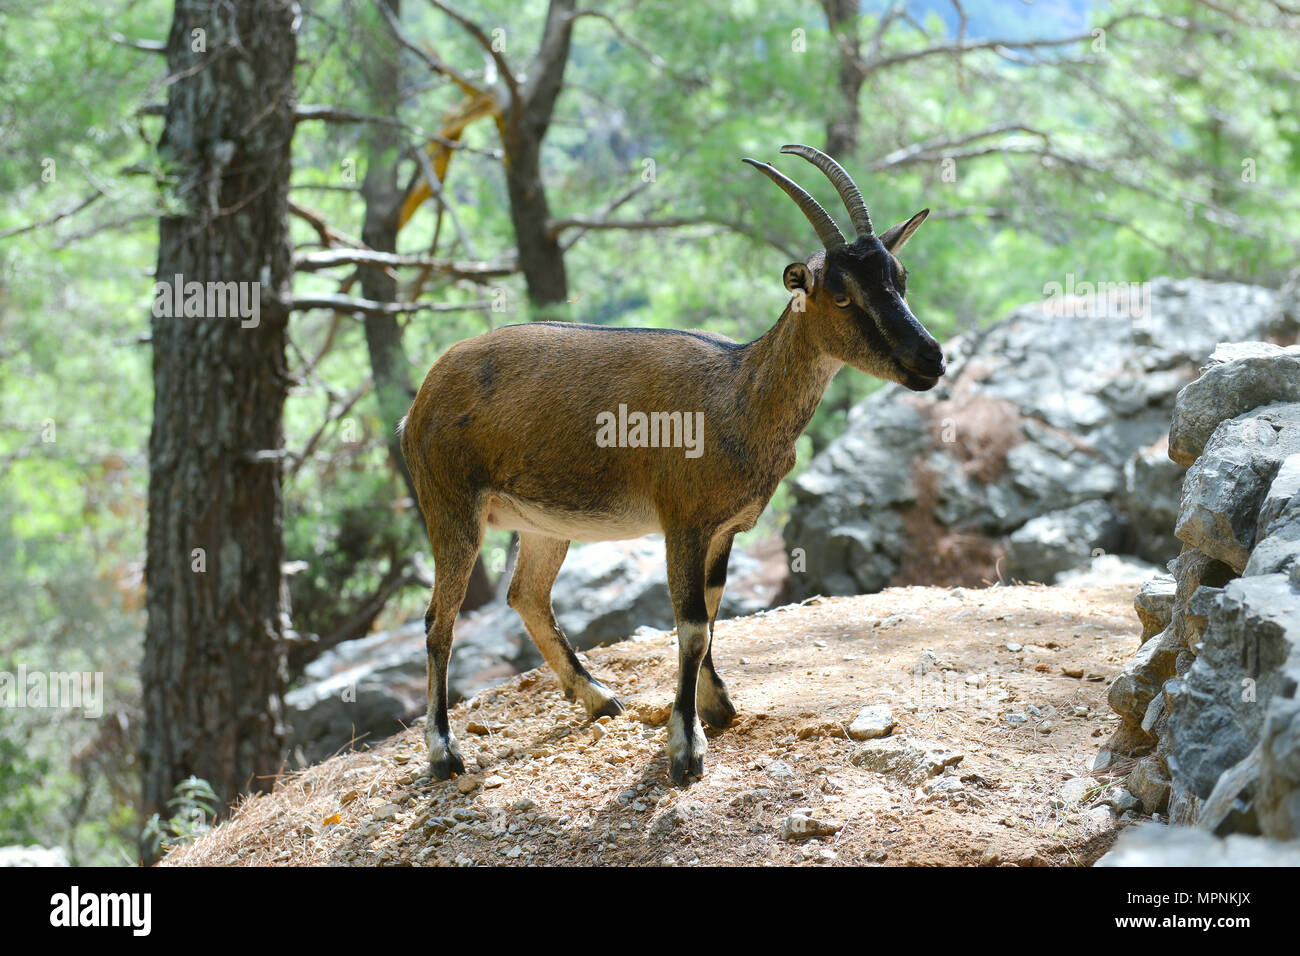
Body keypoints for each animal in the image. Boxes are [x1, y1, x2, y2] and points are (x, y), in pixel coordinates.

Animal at [400, 145, 946, 784]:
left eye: (899, 278)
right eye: (842, 295)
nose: (930, 358)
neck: (737, 395)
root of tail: (418, 404)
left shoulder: (724, 528)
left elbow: (709, 612)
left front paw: (718, 707)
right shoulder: (682, 520)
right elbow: (688, 624)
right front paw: (686, 749)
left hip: (543, 524)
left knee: (527, 596)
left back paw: (600, 699)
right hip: (451, 505)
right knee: (439, 618)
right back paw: (444, 752)